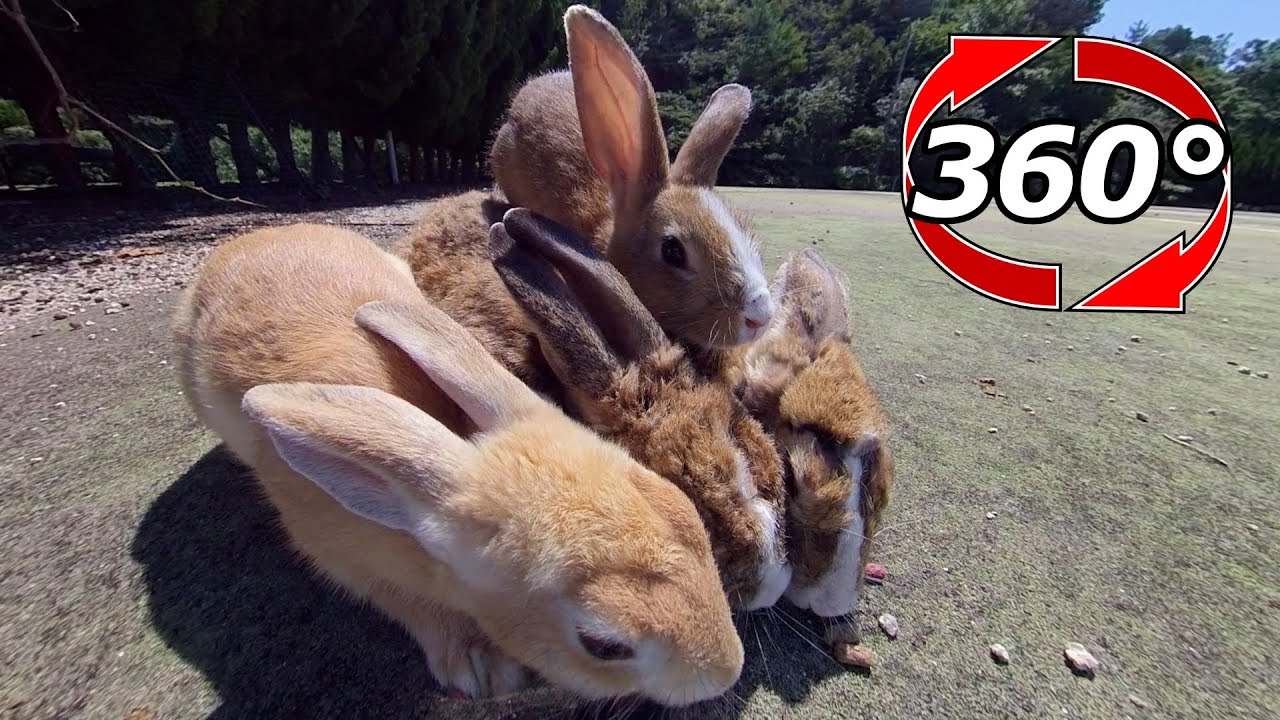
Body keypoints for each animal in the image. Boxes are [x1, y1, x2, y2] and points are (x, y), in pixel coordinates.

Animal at [170, 223, 744, 705]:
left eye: (685, 511)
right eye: (603, 646)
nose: (728, 670)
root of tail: (253, 238)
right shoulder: (339, 552)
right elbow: (405, 600)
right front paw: (481, 667)